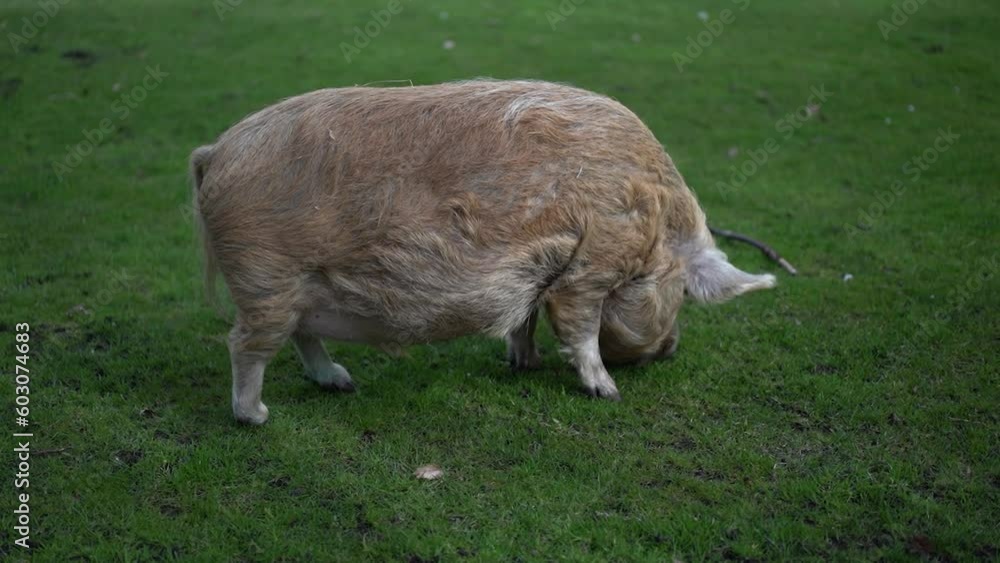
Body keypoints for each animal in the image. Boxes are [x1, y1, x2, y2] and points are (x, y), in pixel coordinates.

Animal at [190, 79, 776, 424]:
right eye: (682, 293)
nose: (672, 348)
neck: (653, 220)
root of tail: (215, 151)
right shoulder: (592, 263)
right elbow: (579, 325)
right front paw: (606, 392)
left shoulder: (542, 271)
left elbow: (527, 319)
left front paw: (525, 364)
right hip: (265, 277)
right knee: (245, 345)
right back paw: (258, 415)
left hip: (298, 288)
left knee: (302, 336)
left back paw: (341, 382)